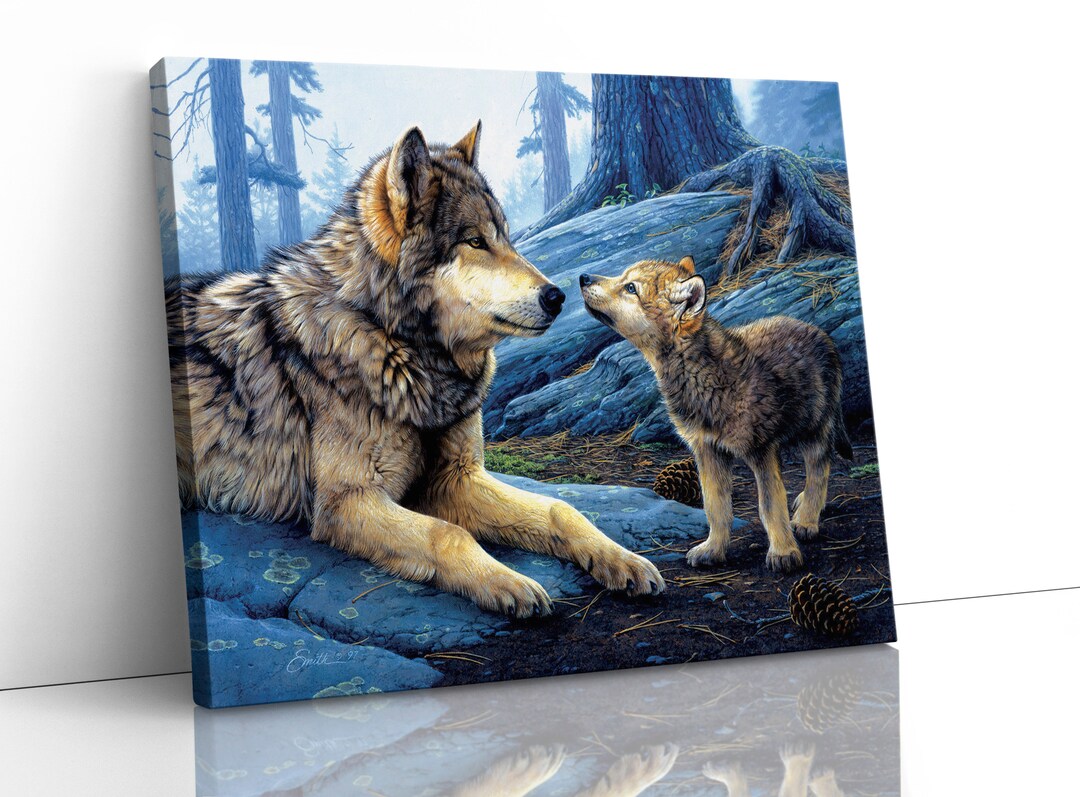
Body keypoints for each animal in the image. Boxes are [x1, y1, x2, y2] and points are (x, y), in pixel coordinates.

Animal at [167, 123, 664, 617]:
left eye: (506, 238)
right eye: (475, 241)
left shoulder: (456, 479)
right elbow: (448, 533)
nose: (557, 296)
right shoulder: (347, 501)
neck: (401, 348)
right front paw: (509, 583)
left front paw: (622, 559)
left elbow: (561, 509)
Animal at [579, 256, 852, 573]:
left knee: (820, 469)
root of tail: (820, 333)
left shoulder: (761, 451)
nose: (583, 277)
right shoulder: (706, 450)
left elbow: (770, 506)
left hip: (814, 429)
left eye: (631, 288)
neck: (706, 376)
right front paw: (713, 550)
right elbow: (716, 507)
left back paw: (807, 519)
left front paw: (784, 553)